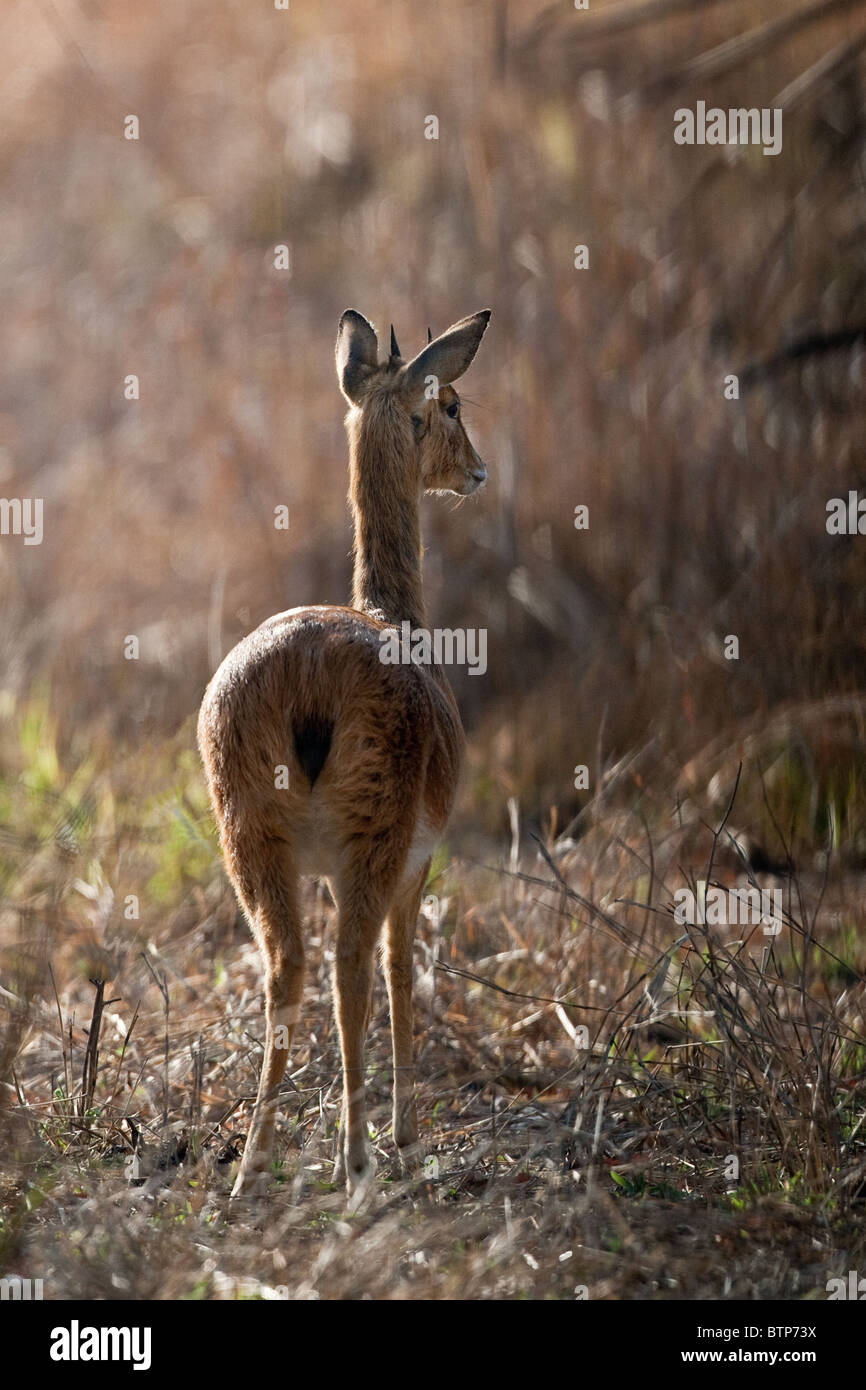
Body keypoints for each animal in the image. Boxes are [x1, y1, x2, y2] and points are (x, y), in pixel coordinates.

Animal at [198, 307, 491, 1196]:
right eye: (451, 403)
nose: (478, 472)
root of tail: (307, 672)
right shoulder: (416, 868)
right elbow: (401, 968)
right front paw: (406, 1134)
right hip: (372, 842)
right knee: (351, 967)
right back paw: (357, 1154)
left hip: (252, 842)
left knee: (286, 969)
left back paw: (251, 1167)